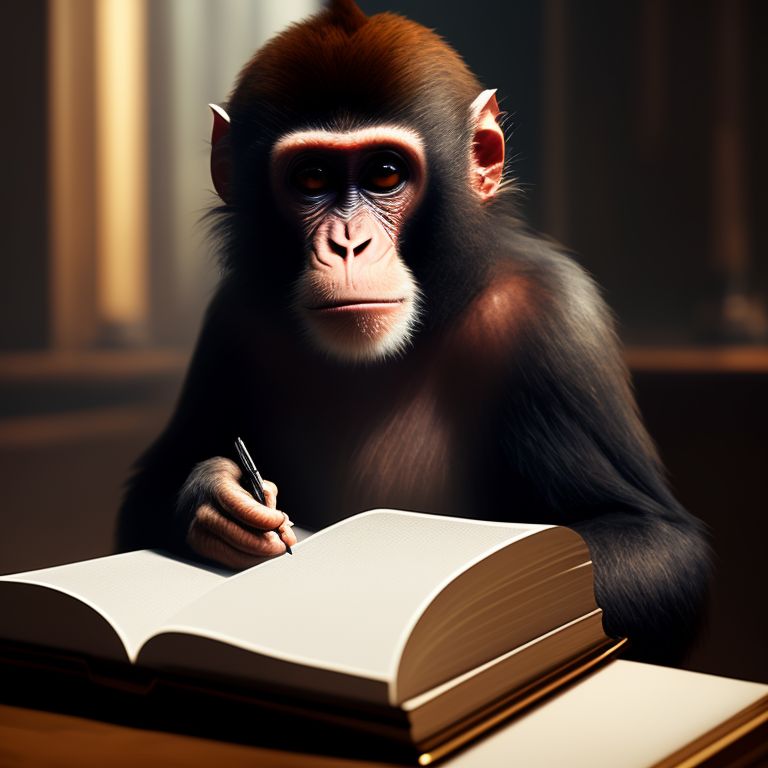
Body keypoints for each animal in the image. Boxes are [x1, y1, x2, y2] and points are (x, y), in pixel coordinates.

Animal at [118, 0, 711, 665]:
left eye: (384, 173)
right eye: (311, 177)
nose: (349, 243)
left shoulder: (557, 319)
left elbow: (652, 538)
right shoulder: (231, 319)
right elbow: (146, 496)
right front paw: (222, 498)